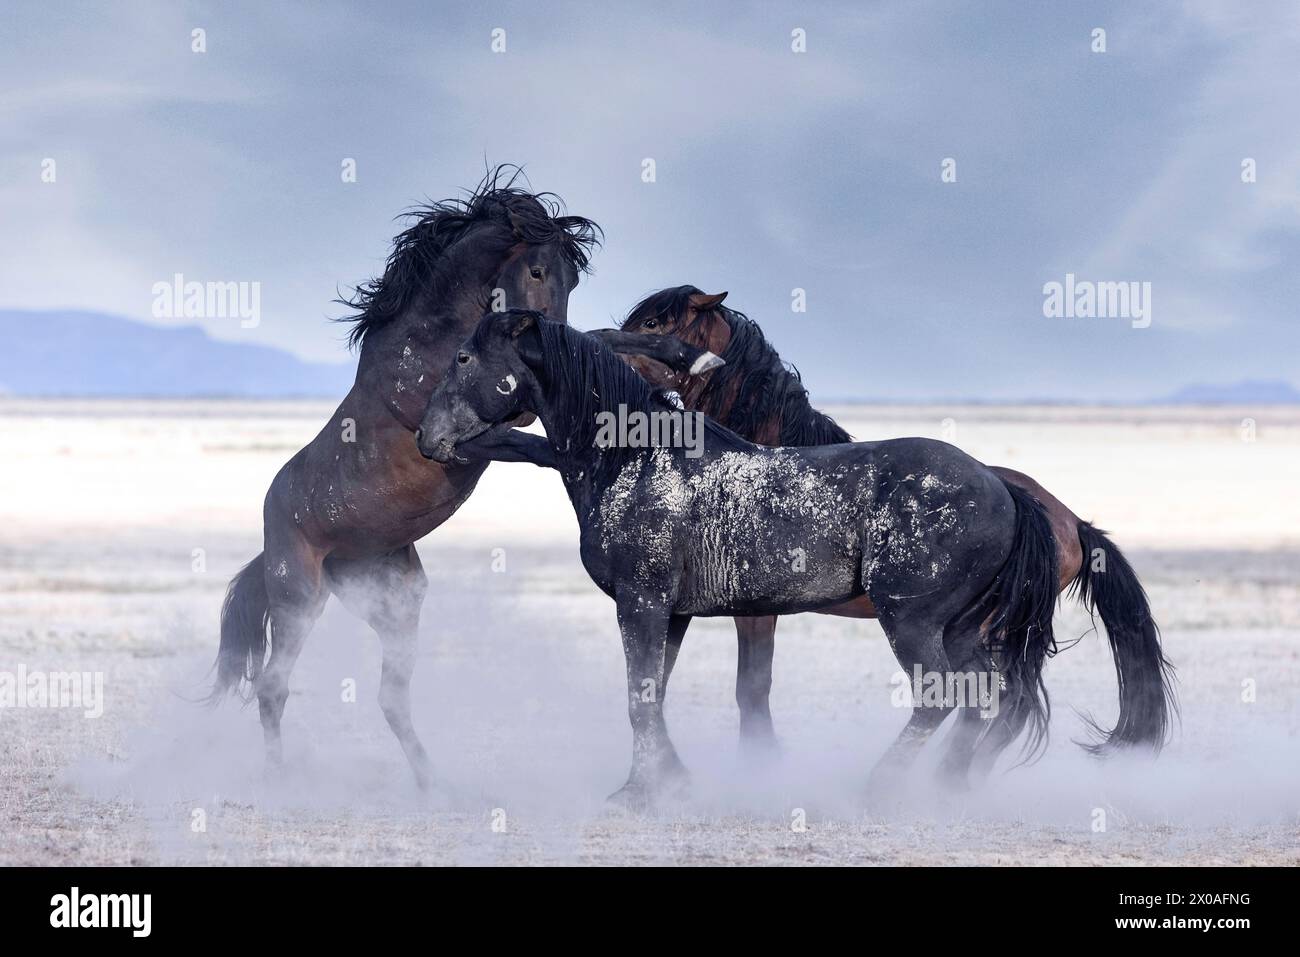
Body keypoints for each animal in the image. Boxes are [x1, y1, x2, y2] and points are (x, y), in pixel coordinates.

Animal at [209, 169, 600, 791]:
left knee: (390, 697)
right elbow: (527, 435)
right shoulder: (467, 427)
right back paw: (279, 777)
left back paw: (431, 781)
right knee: (274, 687)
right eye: (538, 271)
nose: (558, 342)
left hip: (394, 603)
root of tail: (269, 537)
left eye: (575, 277)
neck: (435, 338)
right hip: (299, 598)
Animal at [414, 310, 1177, 802]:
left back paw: (884, 787)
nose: (426, 437)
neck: (636, 456)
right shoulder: (672, 613)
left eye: (463, 358)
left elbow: (644, 696)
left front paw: (640, 792)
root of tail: (1013, 494)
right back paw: (948, 787)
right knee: (989, 700)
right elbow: (653, 694)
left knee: (947, 696)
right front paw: (663, 781)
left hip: (914, 621)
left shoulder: (644, 604)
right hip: (966, 628)